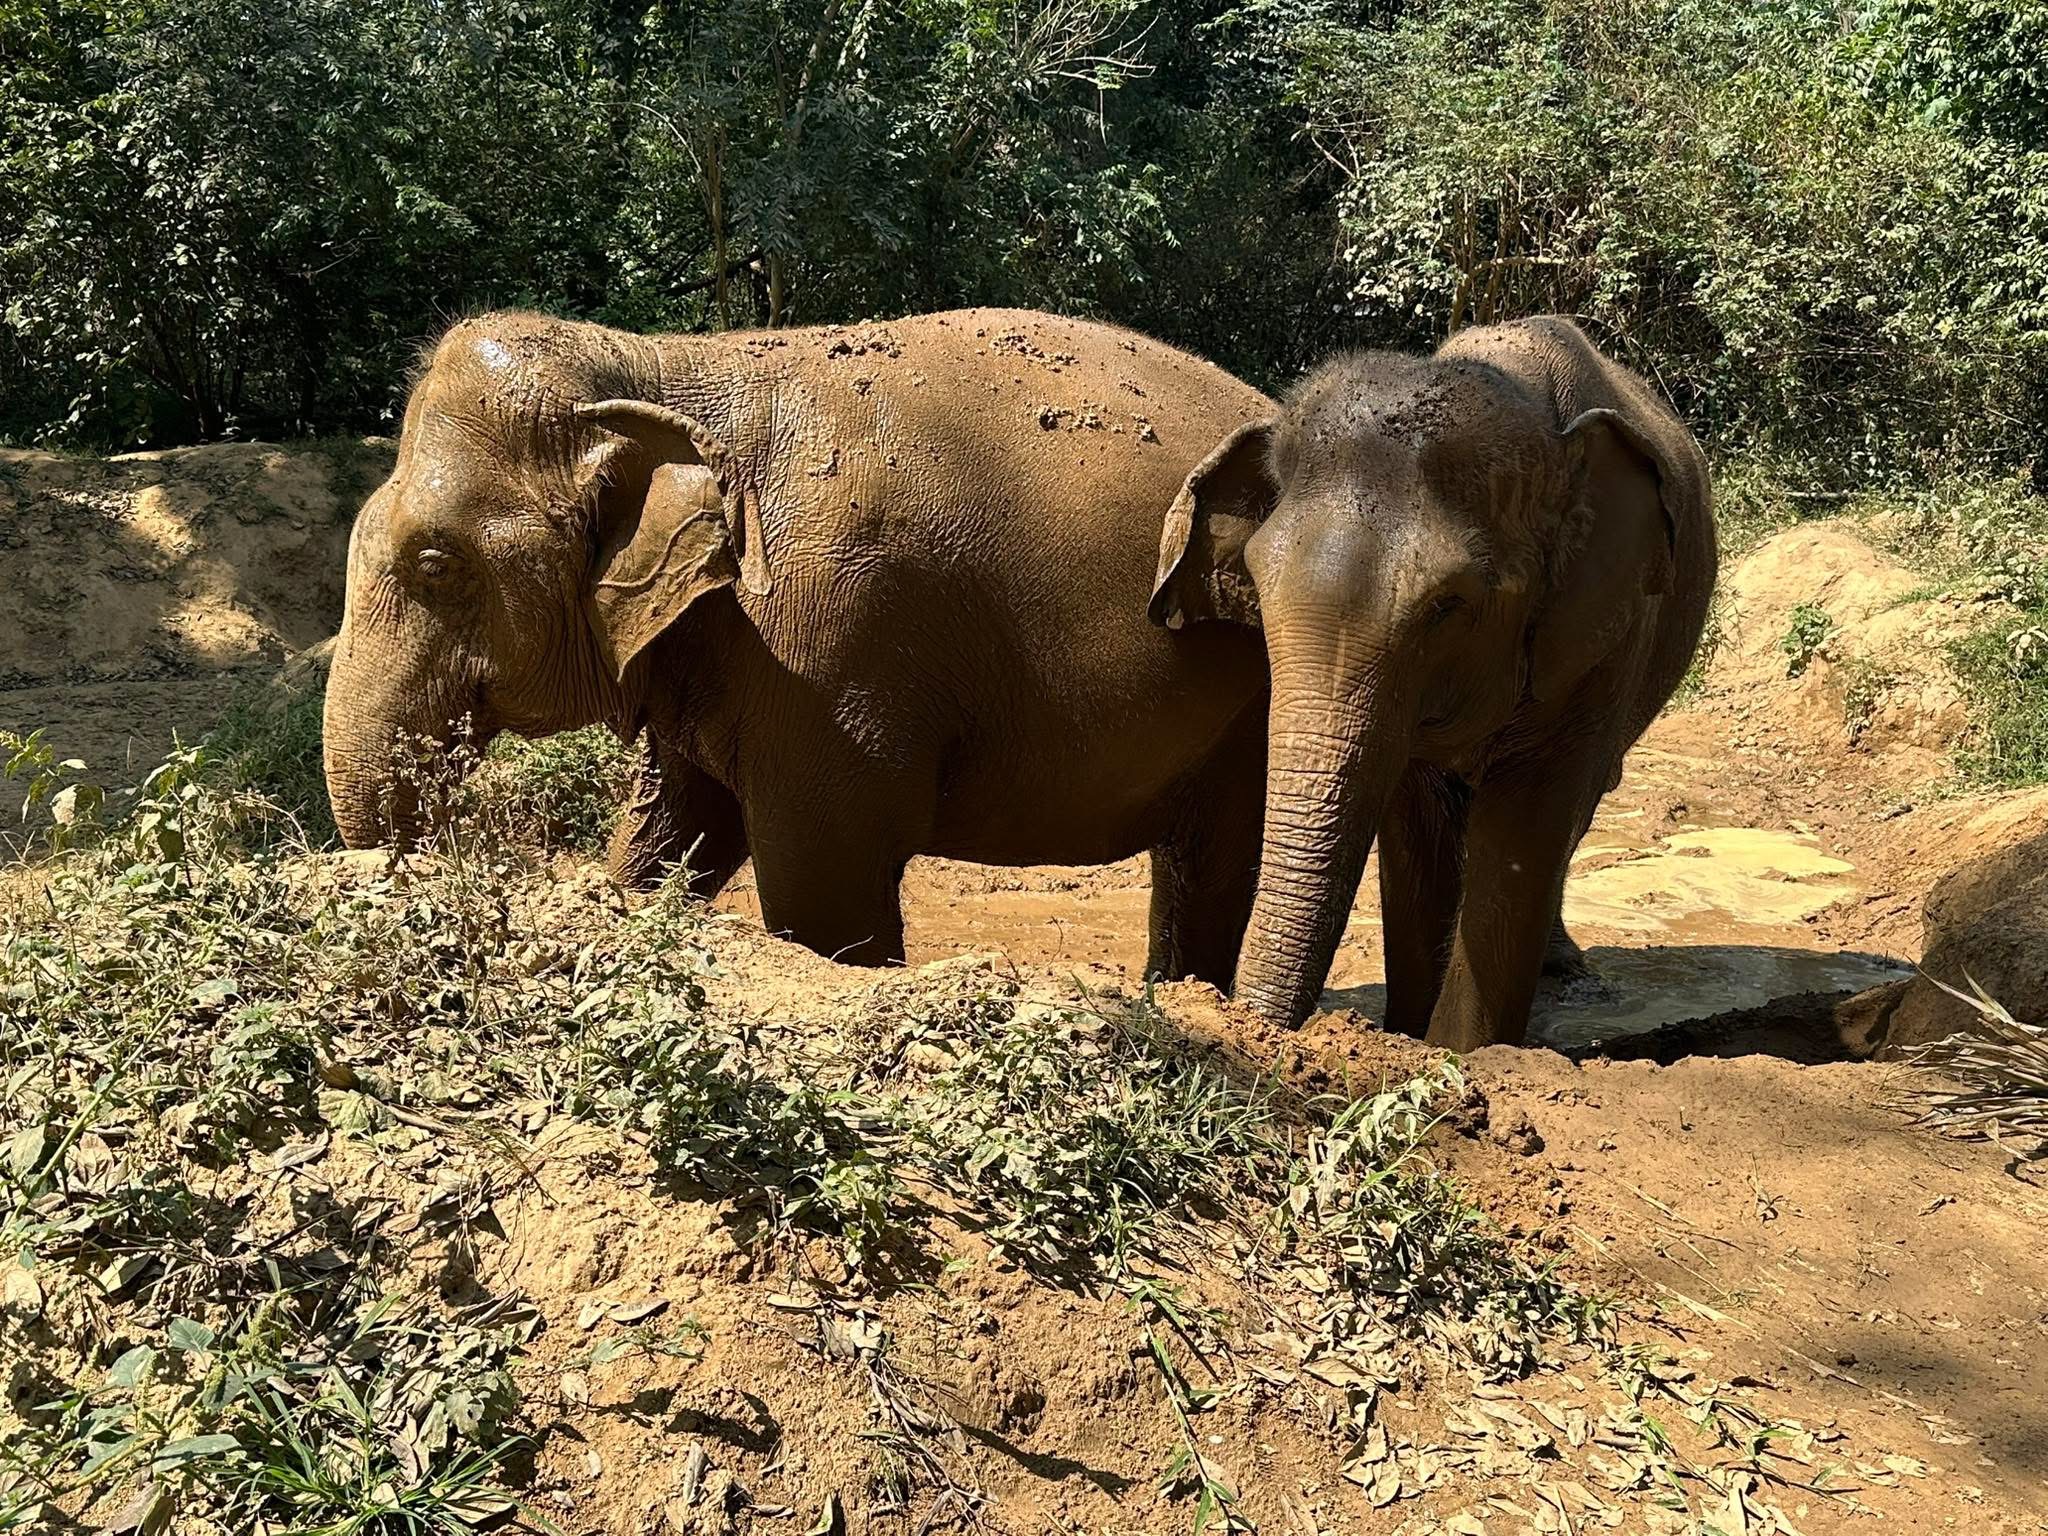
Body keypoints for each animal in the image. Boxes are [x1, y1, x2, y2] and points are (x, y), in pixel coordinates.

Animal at [1150, 316, 1716, 1050]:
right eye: (1256, 584)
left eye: (1448, 607)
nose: (1245, 1026)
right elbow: (1417, 826)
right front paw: (1409, 1036)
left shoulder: (1601, 642)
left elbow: (1528, 819)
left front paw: (1465, 1053)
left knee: (1579, 809)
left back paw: (1564, 970)